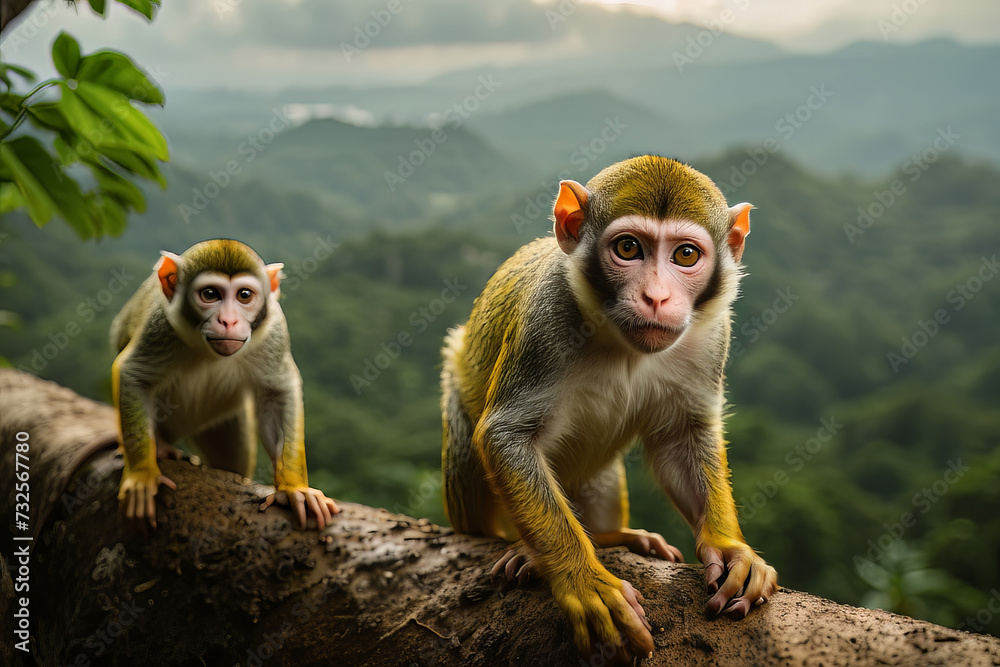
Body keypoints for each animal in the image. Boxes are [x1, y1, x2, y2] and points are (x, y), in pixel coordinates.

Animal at [111, 239, 339, 530]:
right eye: (210, 294)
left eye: (244, 295)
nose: (228, 321)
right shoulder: (161, 326)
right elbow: (134, 375)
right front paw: (142, 476)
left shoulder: (274, 331)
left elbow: (277, 393)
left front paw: (294, 489)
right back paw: (159, 444)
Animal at [440, 156, 778, 659]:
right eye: (628, 248)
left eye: (685, 255)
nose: (656, 297)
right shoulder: (546, 319)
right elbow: (506, 436)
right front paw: (583, 581)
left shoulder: (712, 334)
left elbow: (681, 439)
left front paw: (730, 547)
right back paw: (529, 549)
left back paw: (611, 538)